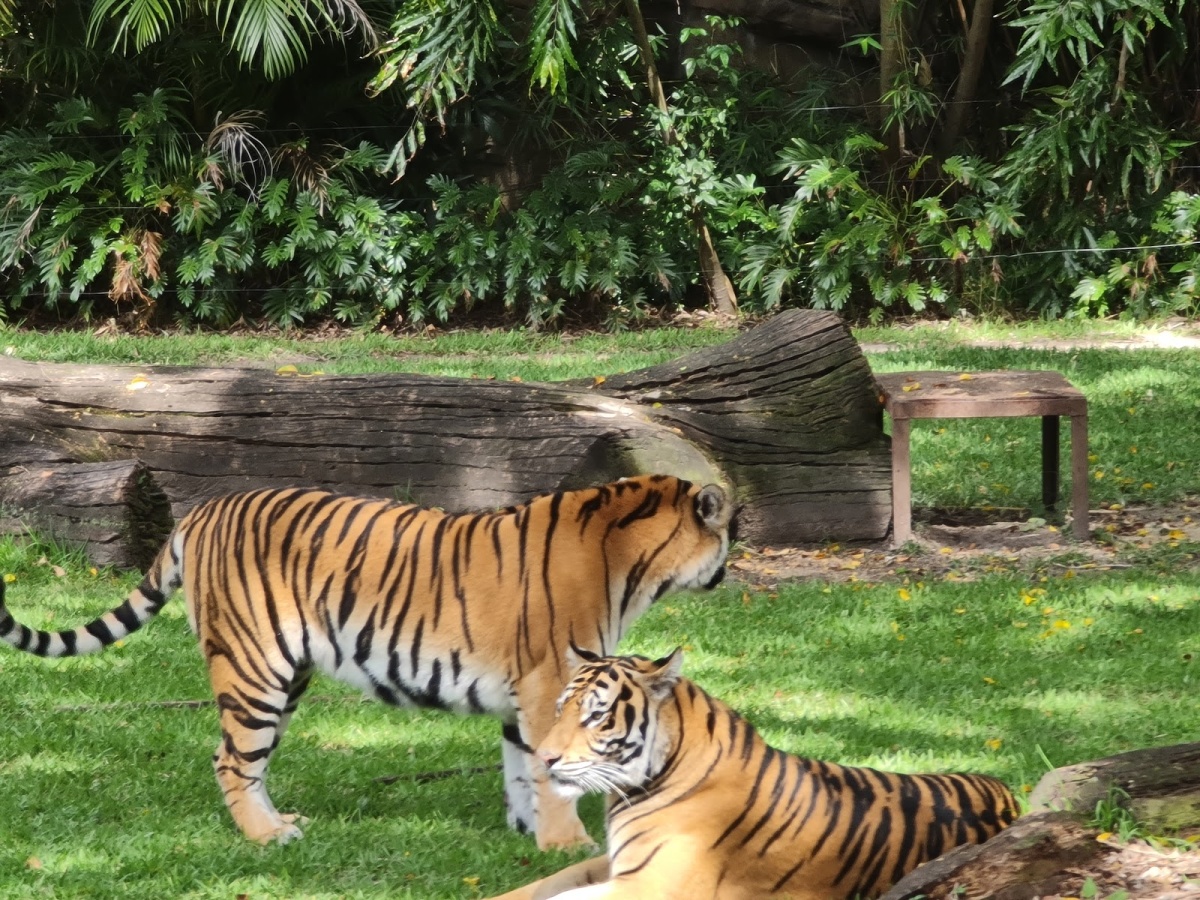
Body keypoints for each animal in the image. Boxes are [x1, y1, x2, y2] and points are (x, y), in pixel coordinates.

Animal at [0, 475, 733, 850]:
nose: (728, 567)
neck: (632, 562)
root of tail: (202, 511)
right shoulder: (549, 680)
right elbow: (548, 773)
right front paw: (567, 847)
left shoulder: (526, 696)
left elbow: (522, 768)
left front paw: (527, 834)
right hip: (254, 668)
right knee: (231, 758)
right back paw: (267, 838)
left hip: (285, 674)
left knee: (243, 760)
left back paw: (281, 823)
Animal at [485, 648, 1018, 900]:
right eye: (561, 709)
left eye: (596, 716)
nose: (544, 758)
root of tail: (1009, 794)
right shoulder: (617, 862)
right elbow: (544, 885)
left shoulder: (649, 883)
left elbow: (562, 897)